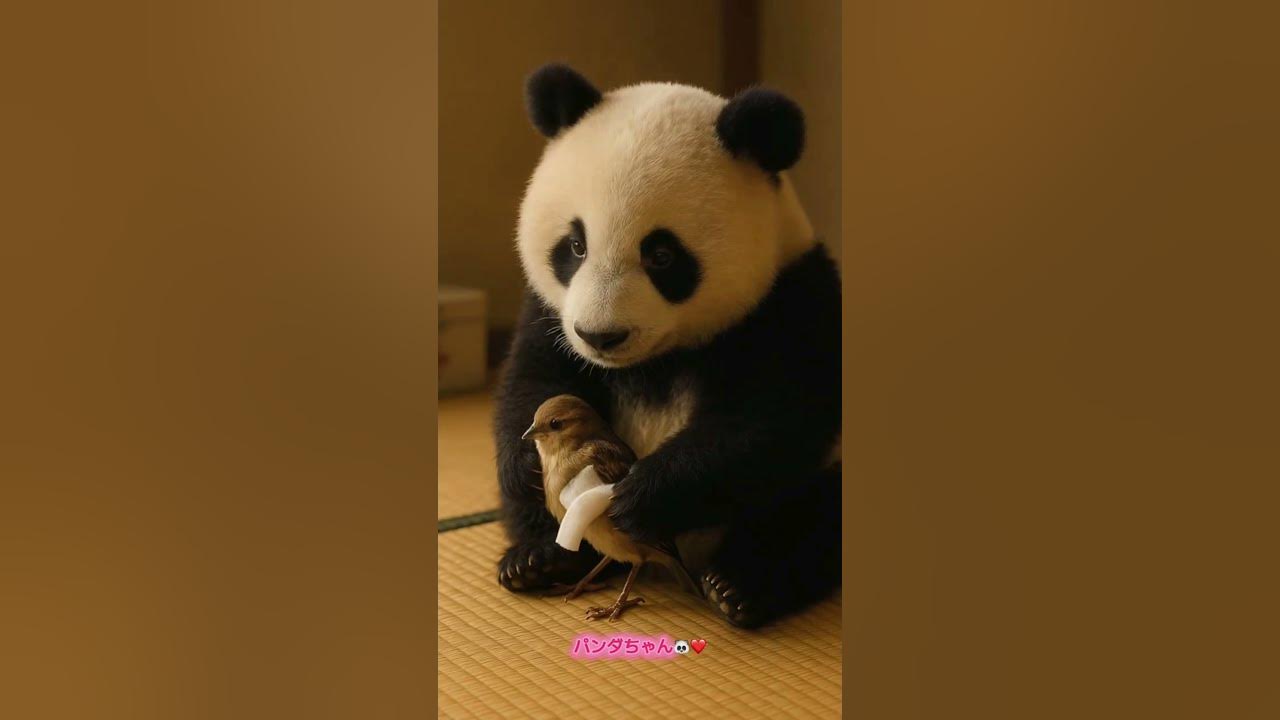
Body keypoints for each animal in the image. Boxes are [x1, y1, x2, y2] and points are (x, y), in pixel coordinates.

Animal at [493, 64, 841, 628]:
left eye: (661, 255)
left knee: (810, 520)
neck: (650, 361)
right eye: (575, 245)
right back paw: (540, 560)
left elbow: (767, 422)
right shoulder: (550, 314)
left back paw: (739, 585)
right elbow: (533, 378)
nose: (600, 336)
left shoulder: (787, 303)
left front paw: (640, 495)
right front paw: (526, 463)